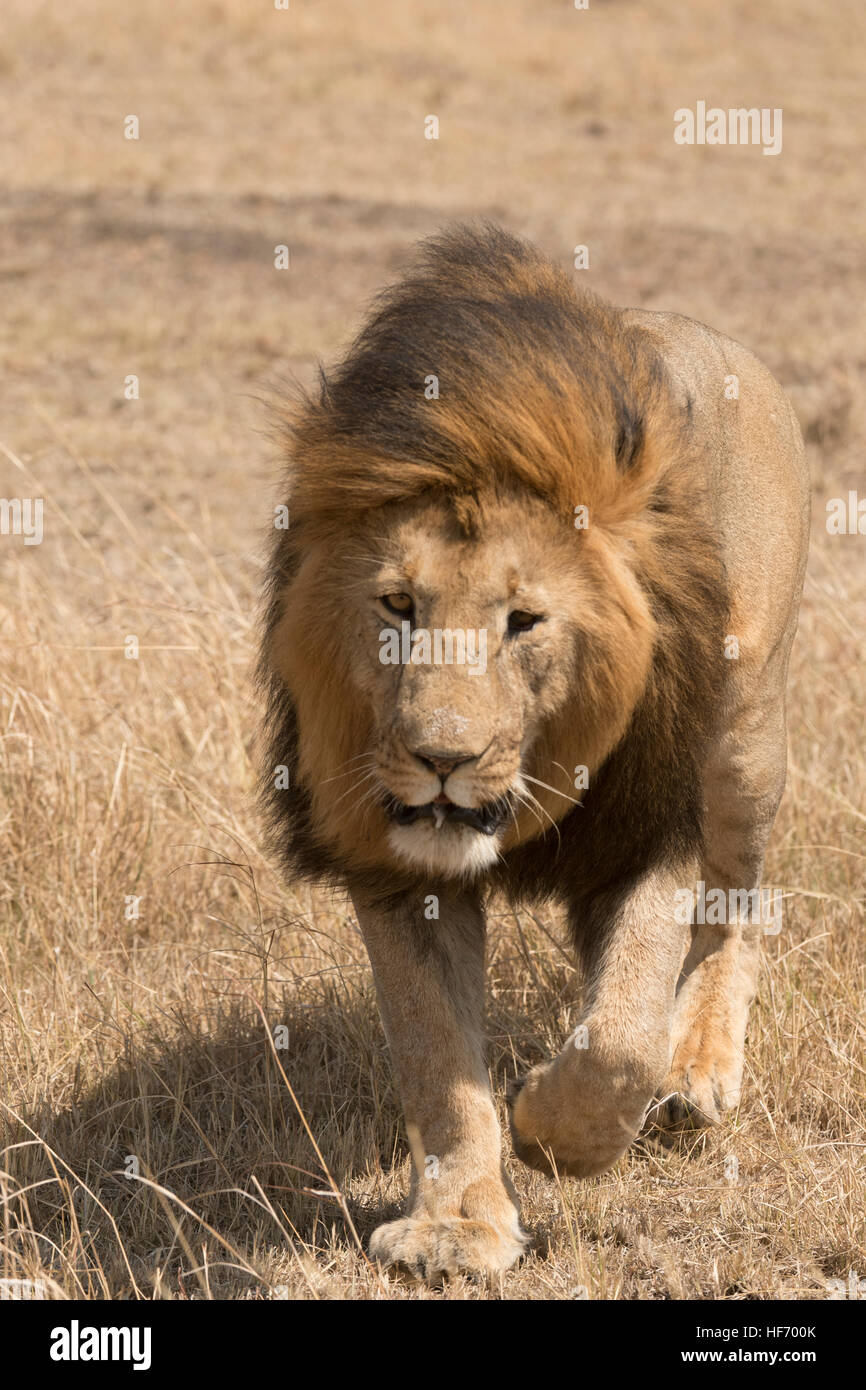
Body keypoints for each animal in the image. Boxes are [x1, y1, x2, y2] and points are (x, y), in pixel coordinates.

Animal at [258, 224, 809, 1281]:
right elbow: (435, 1055)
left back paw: (698, 1071)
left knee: (735, 912)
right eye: (397, 604)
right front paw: (457, 1226)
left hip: (743, 742)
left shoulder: (653, 818)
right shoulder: (397, 866)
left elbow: (622, 1038)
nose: (441, 757)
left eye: (523, 621)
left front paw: (554, 1134)